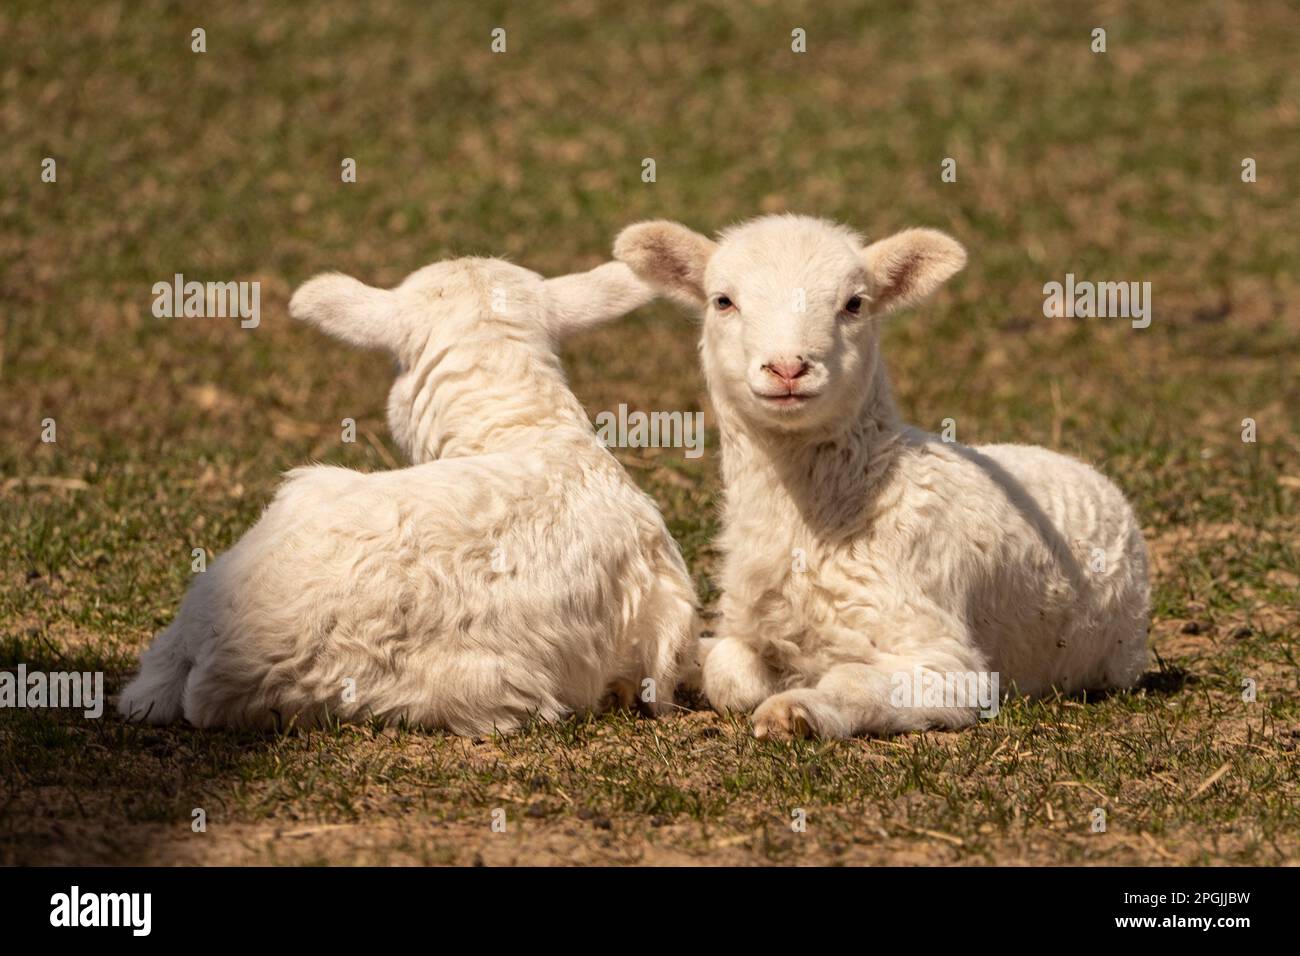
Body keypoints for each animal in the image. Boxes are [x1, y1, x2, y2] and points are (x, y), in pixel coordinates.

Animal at [615, 214, 1149, 739]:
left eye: (854, 303)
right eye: (722, 301)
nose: (788, 368)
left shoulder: (947, 659)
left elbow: (854, 679)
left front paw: (795, 712)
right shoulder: (749, 623)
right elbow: (729, 671)